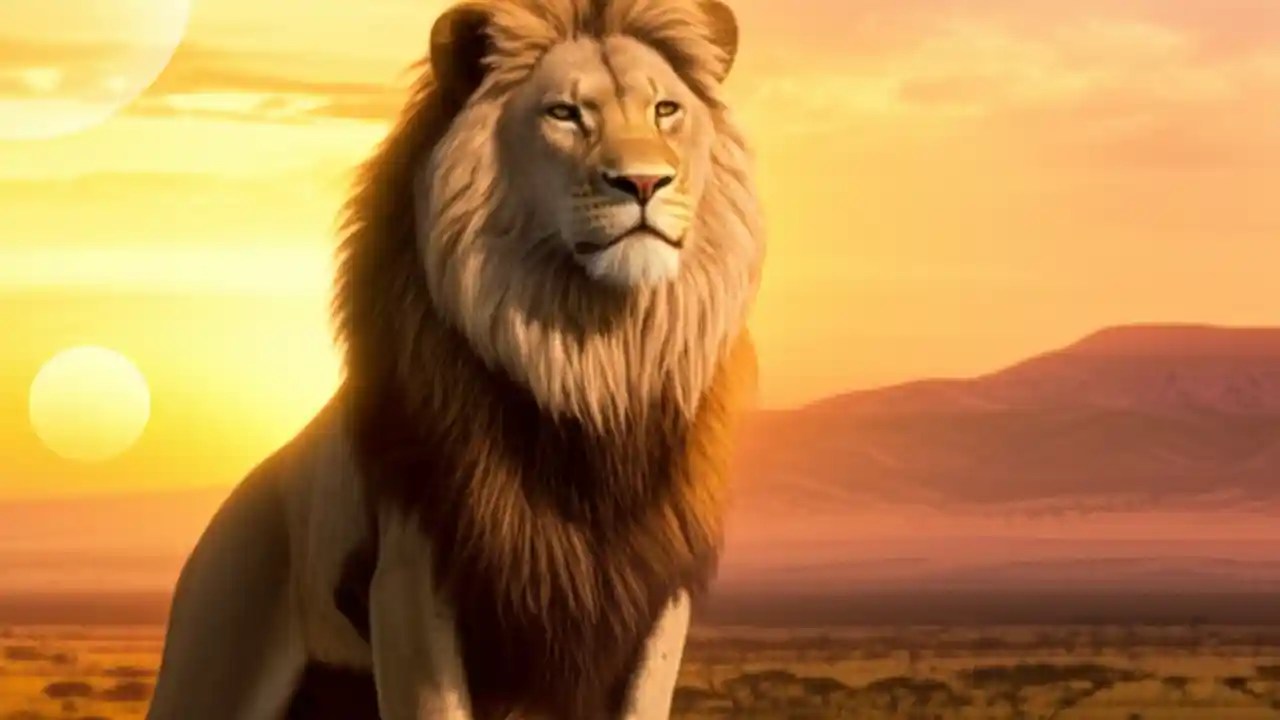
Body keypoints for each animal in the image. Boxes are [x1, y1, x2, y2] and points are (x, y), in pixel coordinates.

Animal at [145, 0, 764, 718]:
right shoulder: (411, 580)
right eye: (564, 114)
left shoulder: (655, 598)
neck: (592, 366)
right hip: (218, 650)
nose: (644, 181)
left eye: (665, 110)